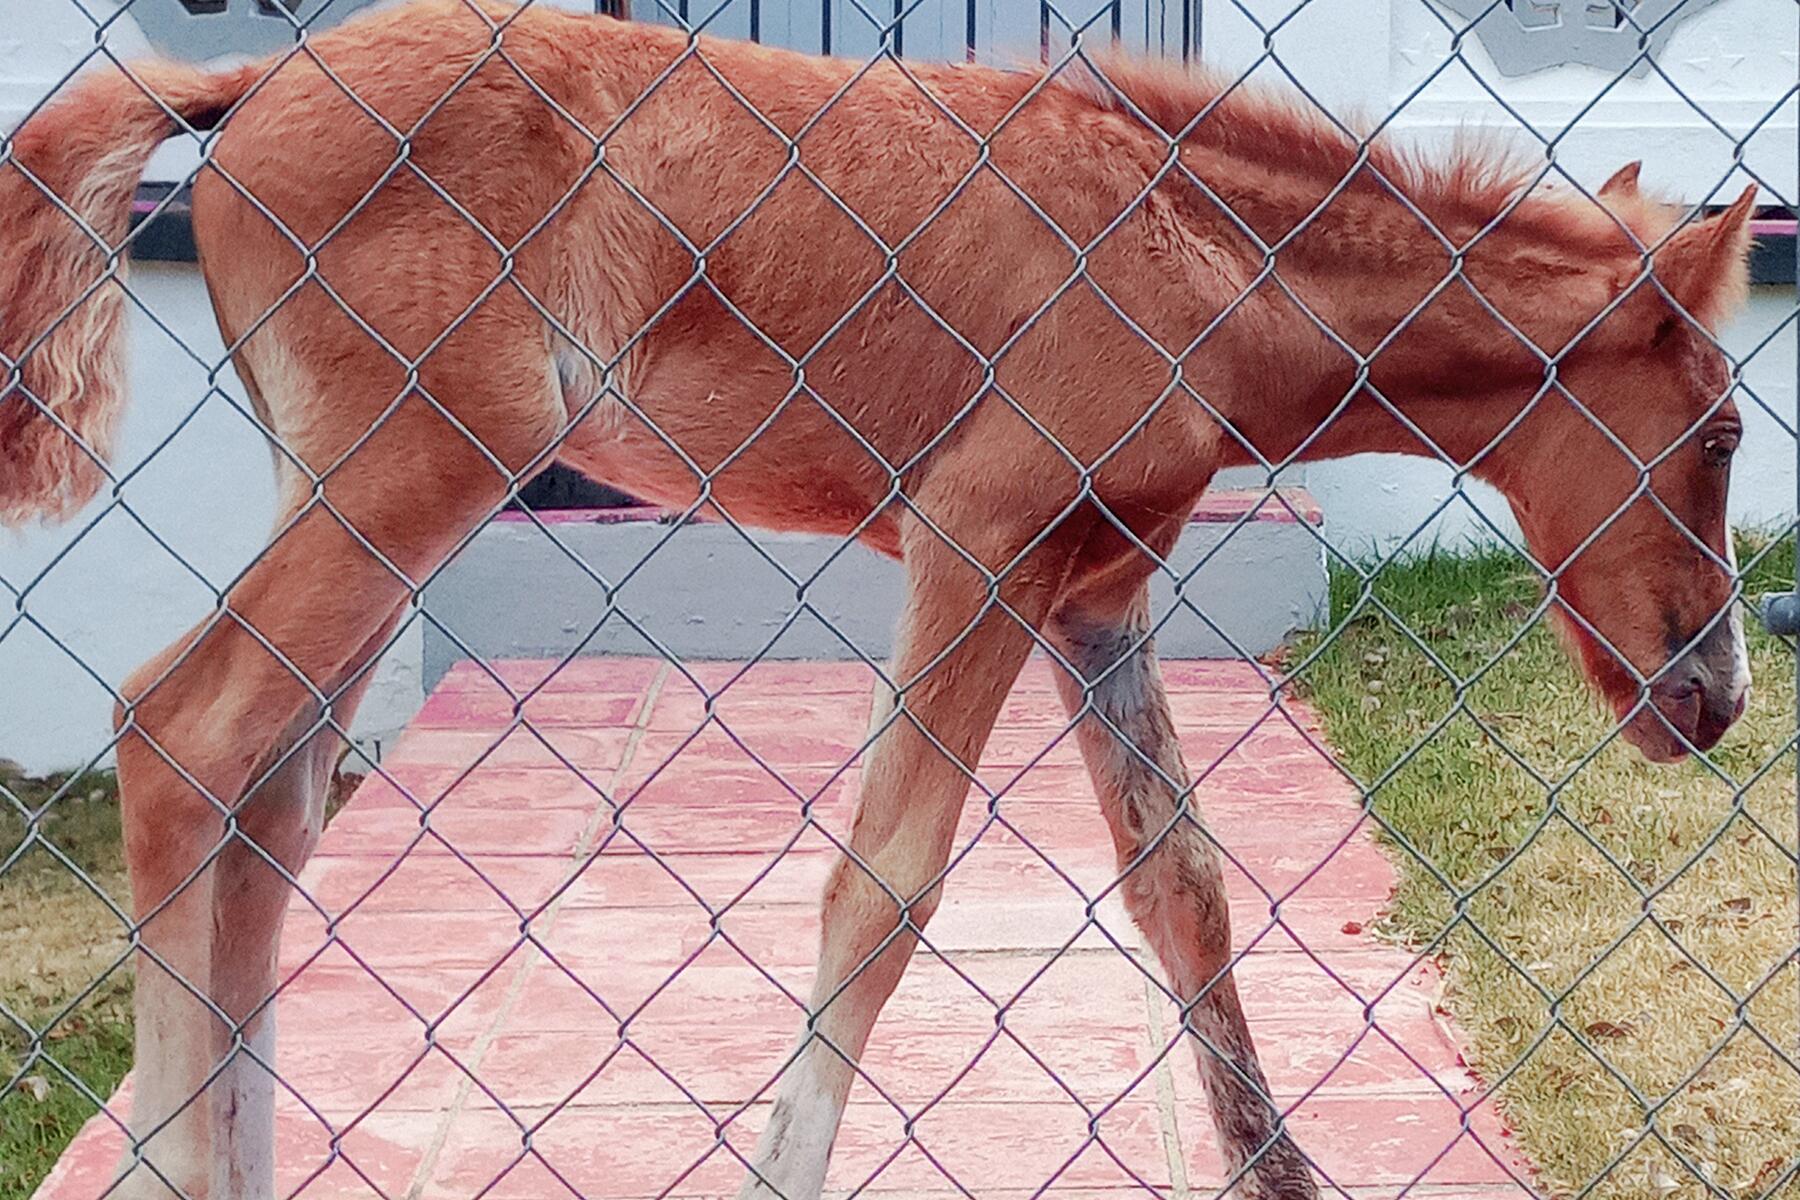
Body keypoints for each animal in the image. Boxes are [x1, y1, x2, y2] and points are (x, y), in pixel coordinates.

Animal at [0, 2, 1755, 1196]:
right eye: (1728, 432)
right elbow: (885, 885)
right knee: (184, 735)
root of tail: (251, 85)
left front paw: (1285, 1174)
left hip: (371, 493)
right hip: (414, 471)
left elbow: (1183, 882)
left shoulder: (1094, 596)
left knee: (271, 802)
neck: (1194, 259)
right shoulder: (972, 544)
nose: (1719, 695)